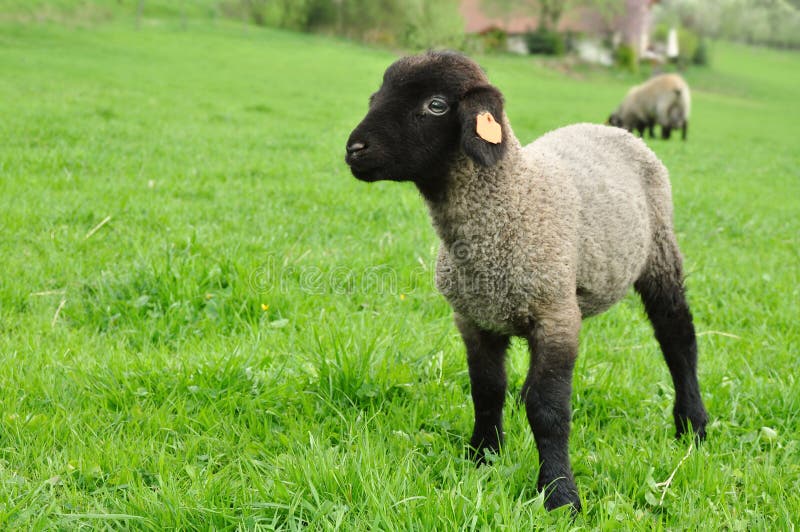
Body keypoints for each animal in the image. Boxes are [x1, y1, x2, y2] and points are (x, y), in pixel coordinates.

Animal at [344, 51, 708, 513]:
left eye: (436, 105)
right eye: (377, 95)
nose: (354, 149)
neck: (513, 198)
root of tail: (613, 129)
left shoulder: (555, 316)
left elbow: (548, 410)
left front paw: (560, 494)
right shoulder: (475, 320)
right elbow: (486, 391)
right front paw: (482, 456)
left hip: (659, 250)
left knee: (677, 336)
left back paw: (692, 424)